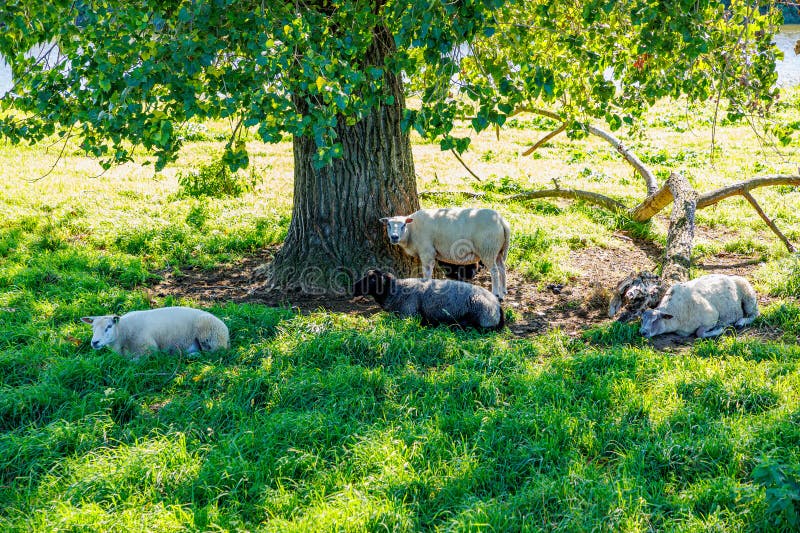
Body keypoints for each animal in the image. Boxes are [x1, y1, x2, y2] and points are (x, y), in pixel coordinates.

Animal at [81, 306, 229, 358]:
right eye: (92, 328)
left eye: (109, 326)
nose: (94, 342)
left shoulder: (148, 350)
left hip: (210, 337)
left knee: (212, 353)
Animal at [352, 269, 504, 330]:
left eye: (372, 279)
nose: (353, 287)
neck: (396, 291)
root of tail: (497, 305)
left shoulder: (409, 314)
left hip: (480, 313)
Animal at [380, 208, 510, 300]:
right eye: (388, 225)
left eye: (403, 225)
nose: (394, 237)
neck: (411, 230)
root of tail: (501, 221)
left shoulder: (427, 251)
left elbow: (427, 272)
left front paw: (425, 285)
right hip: (498, 250)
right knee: (502, 269)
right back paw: (503, 291)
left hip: (488, 249)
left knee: (495, 271)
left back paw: (496, 294)